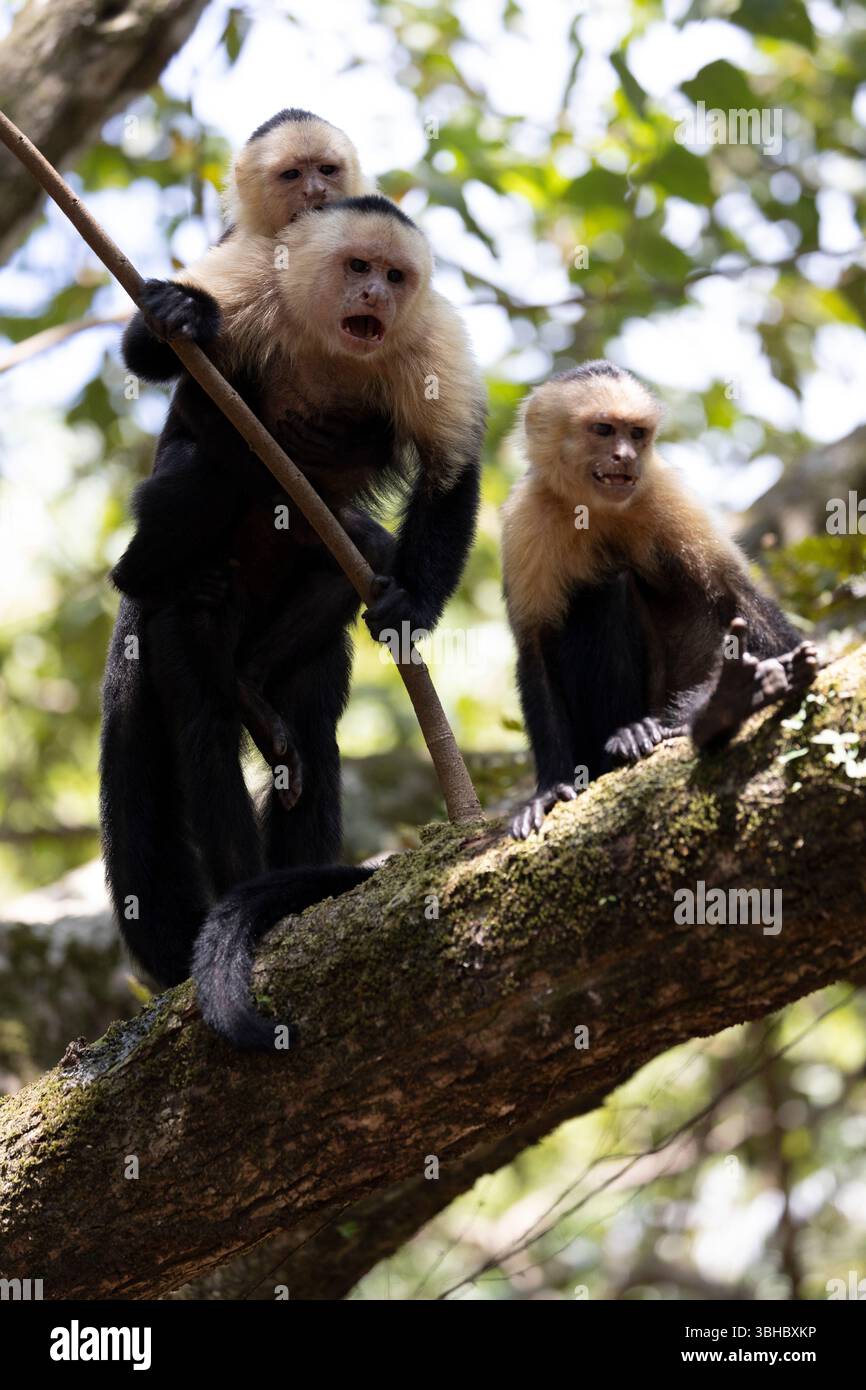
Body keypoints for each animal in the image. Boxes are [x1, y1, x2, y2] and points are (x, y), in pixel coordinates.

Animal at [101, 194, 486, 1045]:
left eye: (394, 275)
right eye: (358, 266)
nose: (374, 295)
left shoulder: (431, 339)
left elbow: (450, 473)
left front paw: (411, 608)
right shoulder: (250, 280)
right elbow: (157, 355)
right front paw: (177, 315)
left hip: (302, 629)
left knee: (337, 614)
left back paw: (262, 706)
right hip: (178, 616)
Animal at [501, 360, 818, 839]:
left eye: (636, 434)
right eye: (603, 429)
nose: (625, 457)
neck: (594, 508)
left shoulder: (664, 492)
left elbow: (738, 597)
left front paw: (729, 699)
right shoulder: (526, 517)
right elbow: (535, 647)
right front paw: (550, 787)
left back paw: (716, 707)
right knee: (606, 590)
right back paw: (628, 735)